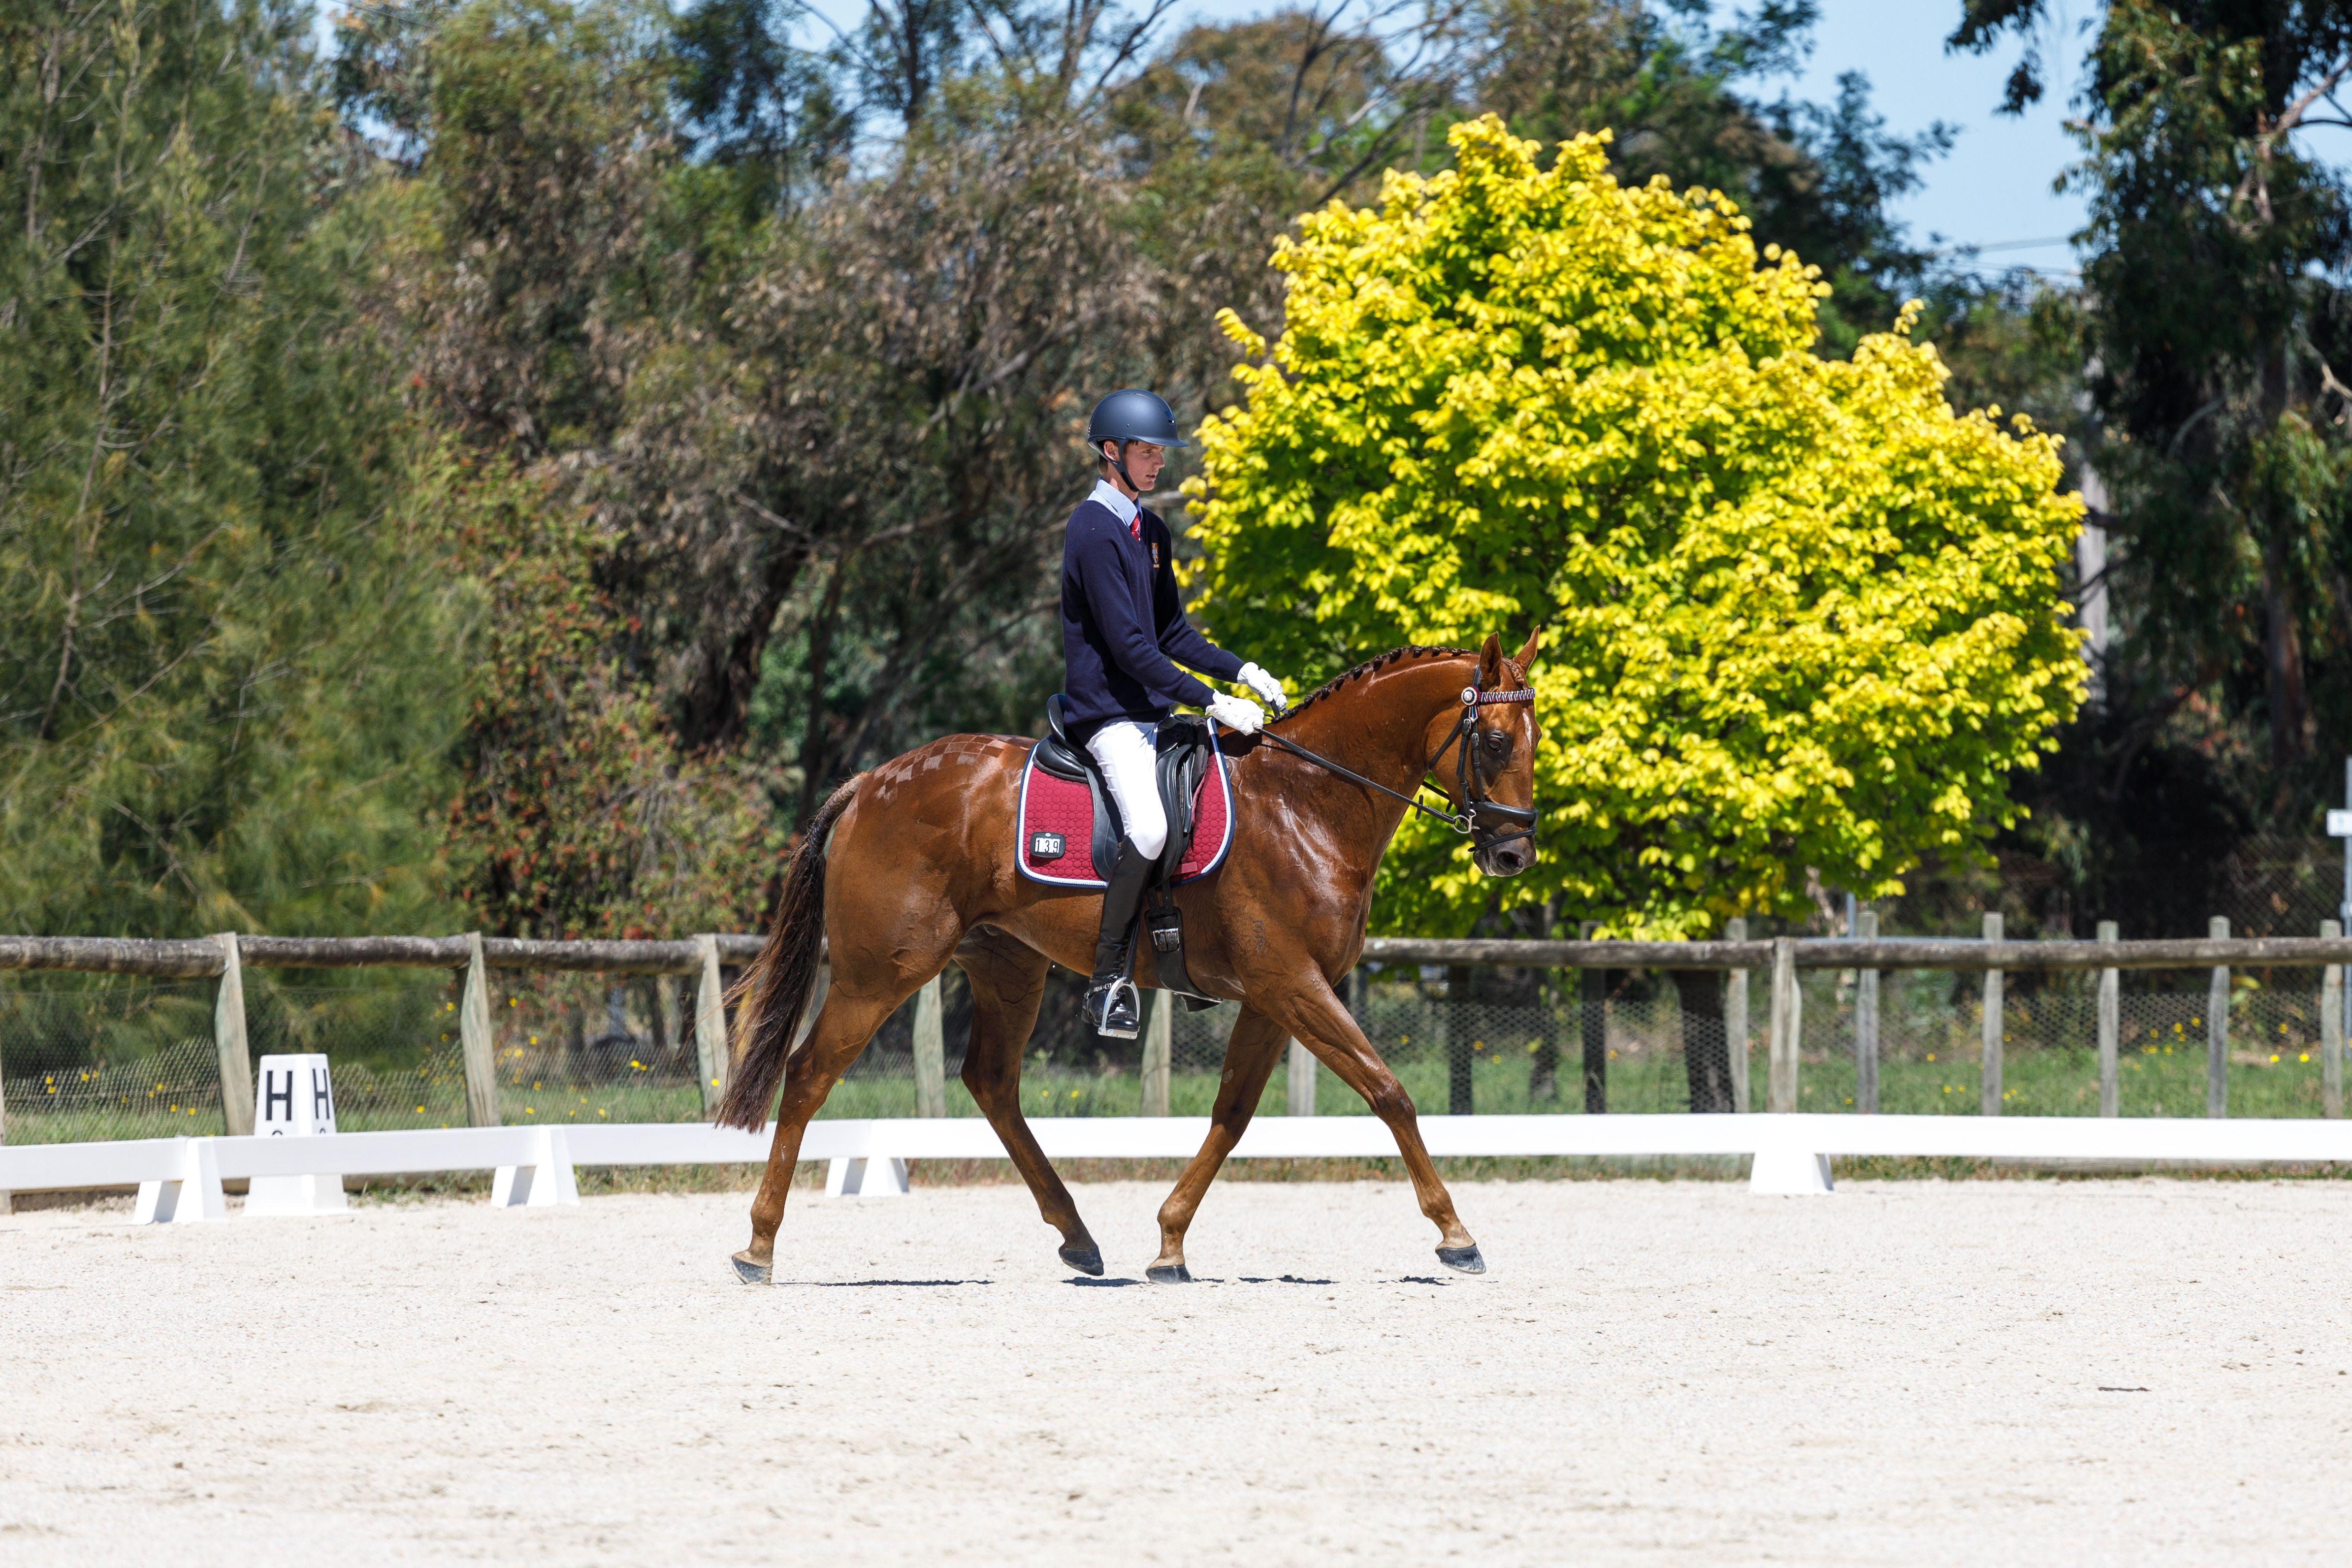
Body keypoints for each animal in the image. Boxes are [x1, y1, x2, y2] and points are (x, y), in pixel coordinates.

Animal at [716, 629, 1543, 1283]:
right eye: (1495, 741)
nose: (1513, 854)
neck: (1305, 800)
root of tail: (870, 783)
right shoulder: (1291, 983)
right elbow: (1387, 1092)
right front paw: (1456, 1235)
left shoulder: (1274, 995)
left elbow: (1233, 1113)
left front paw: (1170, 1242)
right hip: (881, 972)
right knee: (809, 1074)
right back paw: (758, 1247)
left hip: (1007, 965)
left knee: (992, 1084)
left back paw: (1078, 1238)